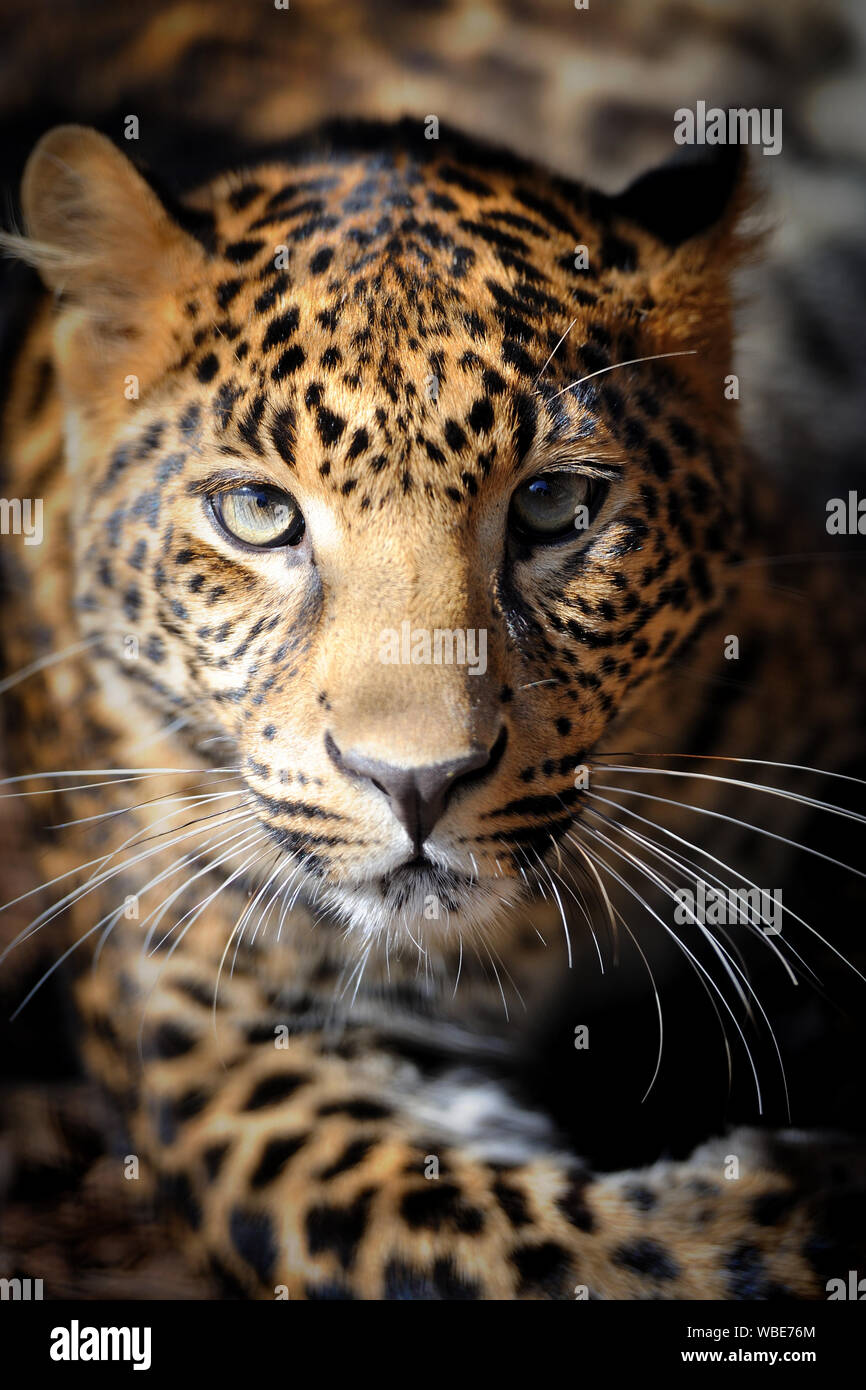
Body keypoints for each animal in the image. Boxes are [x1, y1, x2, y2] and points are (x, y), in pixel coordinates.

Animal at [1, 105, 865, 1302]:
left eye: (554, 504)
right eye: (257, 512)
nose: (416, 783)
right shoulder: (227, 1038)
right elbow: (535, 1247)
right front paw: (807, 1202)